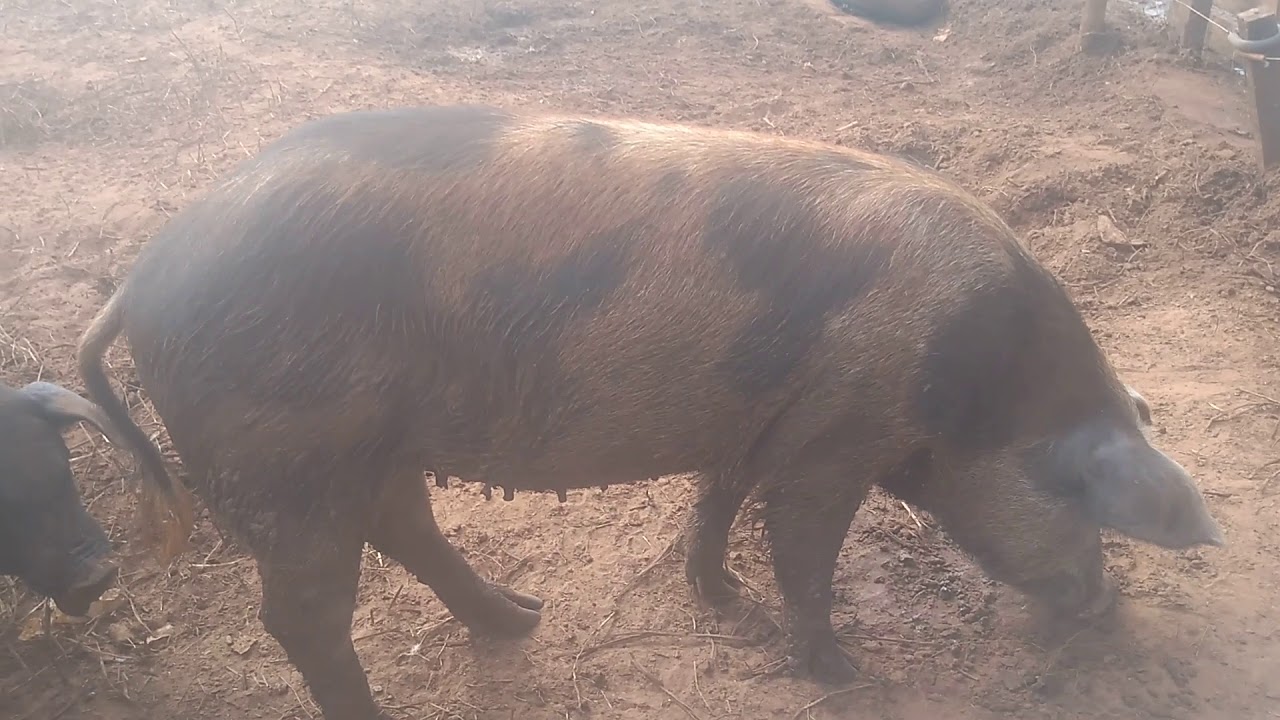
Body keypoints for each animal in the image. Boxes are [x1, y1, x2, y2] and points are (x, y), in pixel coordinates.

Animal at [75, 104, 1224, 720]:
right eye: (1083, 505)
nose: (1105, 606)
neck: (970, 382)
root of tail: (143, 279)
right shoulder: (839, 429)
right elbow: (804, 549)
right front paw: (847, 673)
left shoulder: (760, 418)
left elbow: (715, 502)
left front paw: (718, 597)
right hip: (289, 455)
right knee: (304, 614)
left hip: (370, 443)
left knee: (406, 530)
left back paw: (524, 616)